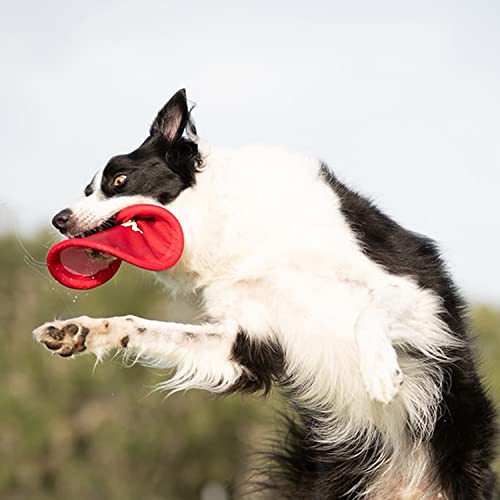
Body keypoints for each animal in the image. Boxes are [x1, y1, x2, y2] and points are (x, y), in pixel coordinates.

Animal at [33, 90, 498, 500]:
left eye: (118, 180)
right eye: (88, 189)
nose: (59, 219)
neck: (234, 226)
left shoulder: (413, 287)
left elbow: (367, 317)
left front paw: (382, 375)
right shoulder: (244, 342)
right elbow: (141, 325)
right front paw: (82, 330)